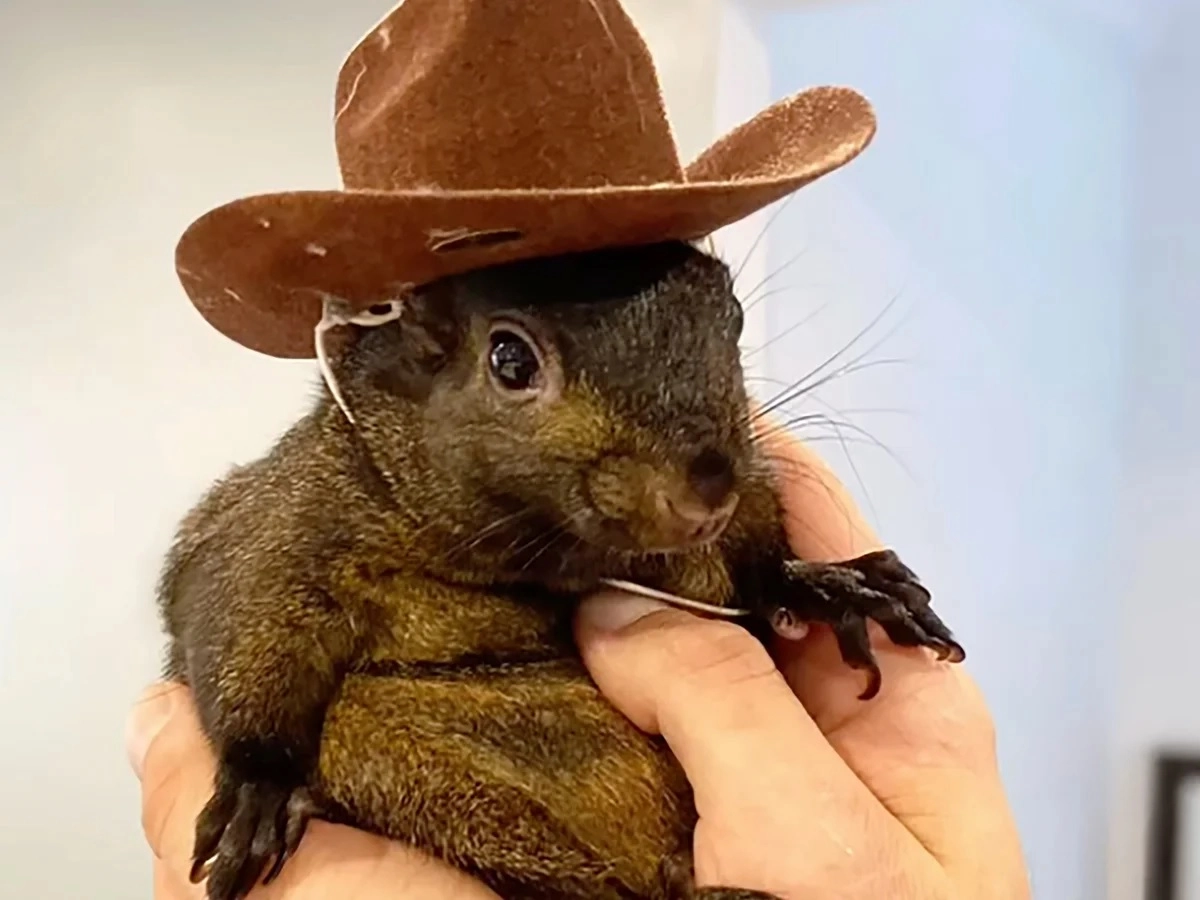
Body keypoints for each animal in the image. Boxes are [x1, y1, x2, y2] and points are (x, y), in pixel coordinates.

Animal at [157, 239, 964, 900]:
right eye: (509, 360)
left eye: (731, 318)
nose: (707, 488)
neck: (544, 557)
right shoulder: (286, 523)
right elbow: (242, 616)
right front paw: (258, 785)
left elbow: (758, 563)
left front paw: (830, 584)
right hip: (388, 754)